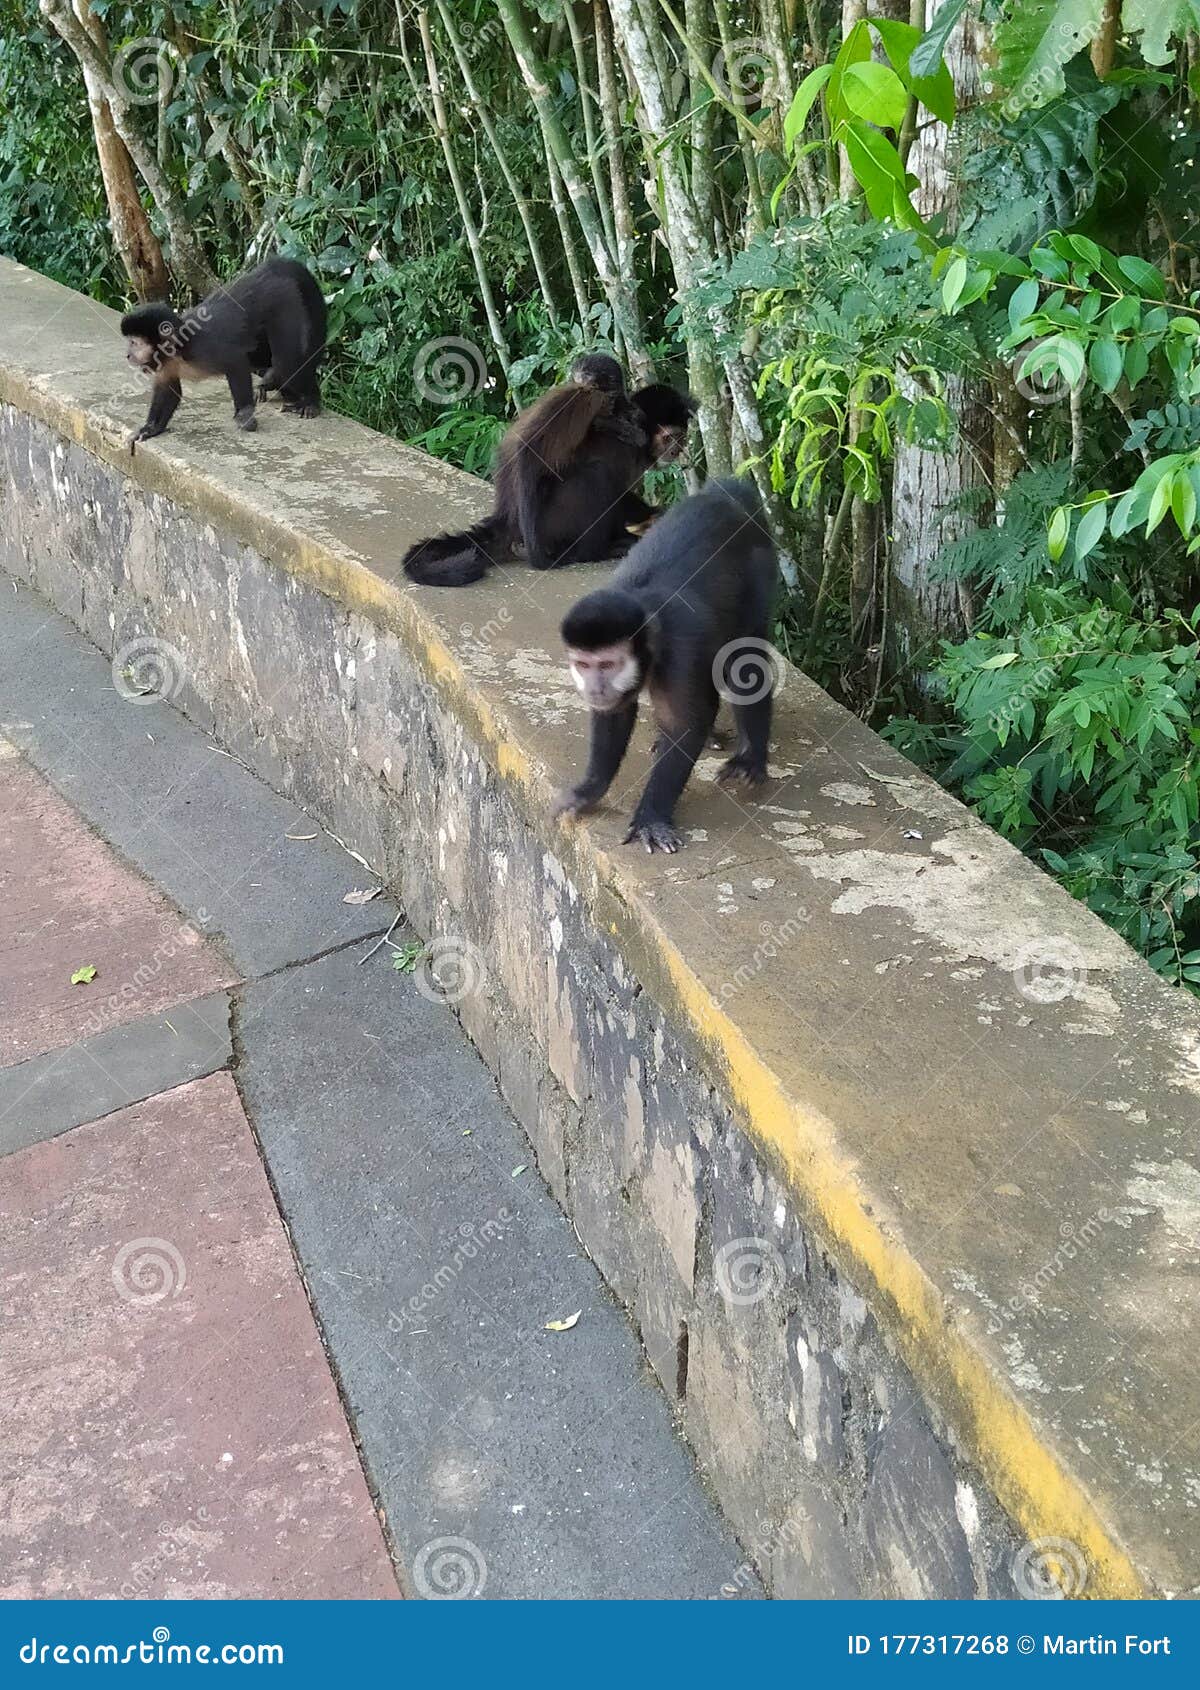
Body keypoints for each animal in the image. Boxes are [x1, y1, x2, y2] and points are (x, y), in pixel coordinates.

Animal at [121, 257, 327, 444]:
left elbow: (237, 362)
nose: (128, 355)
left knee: (287, 364)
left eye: (134, 343)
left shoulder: (203, 349)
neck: (179, 351)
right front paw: (152, 428)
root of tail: (266, 274)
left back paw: (311, 401)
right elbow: (169, 391)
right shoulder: (166, 363)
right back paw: (269, 382)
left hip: (285, 301)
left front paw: (244, 414)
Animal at [402, 355, 695, 587]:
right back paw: (594, 551)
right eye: (671, 438)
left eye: (681, 438)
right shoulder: (623, 447)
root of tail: (509, 519)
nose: (678, 450)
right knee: (595, 476)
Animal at [557, 477, 778, 854]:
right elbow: (614, 714)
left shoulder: (681, 650)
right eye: (584, 665)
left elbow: (685, 725)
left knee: (743, 660)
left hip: (762, 568)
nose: (595, 687)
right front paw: (591, 789)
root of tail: (728, 496)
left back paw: (751, 757)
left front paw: (651, 817)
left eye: (608, 664)